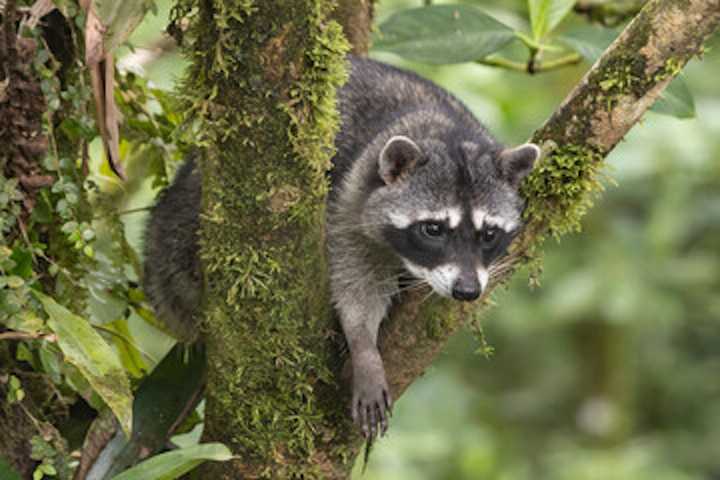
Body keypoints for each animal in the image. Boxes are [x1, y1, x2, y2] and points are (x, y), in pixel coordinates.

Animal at [143, 55, 540, 440]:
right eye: (433, 229)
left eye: (489, 234)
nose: (467, 291)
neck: (444, 130)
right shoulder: (350, 194)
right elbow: (354, 277)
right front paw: (363, 346)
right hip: (176, 245)